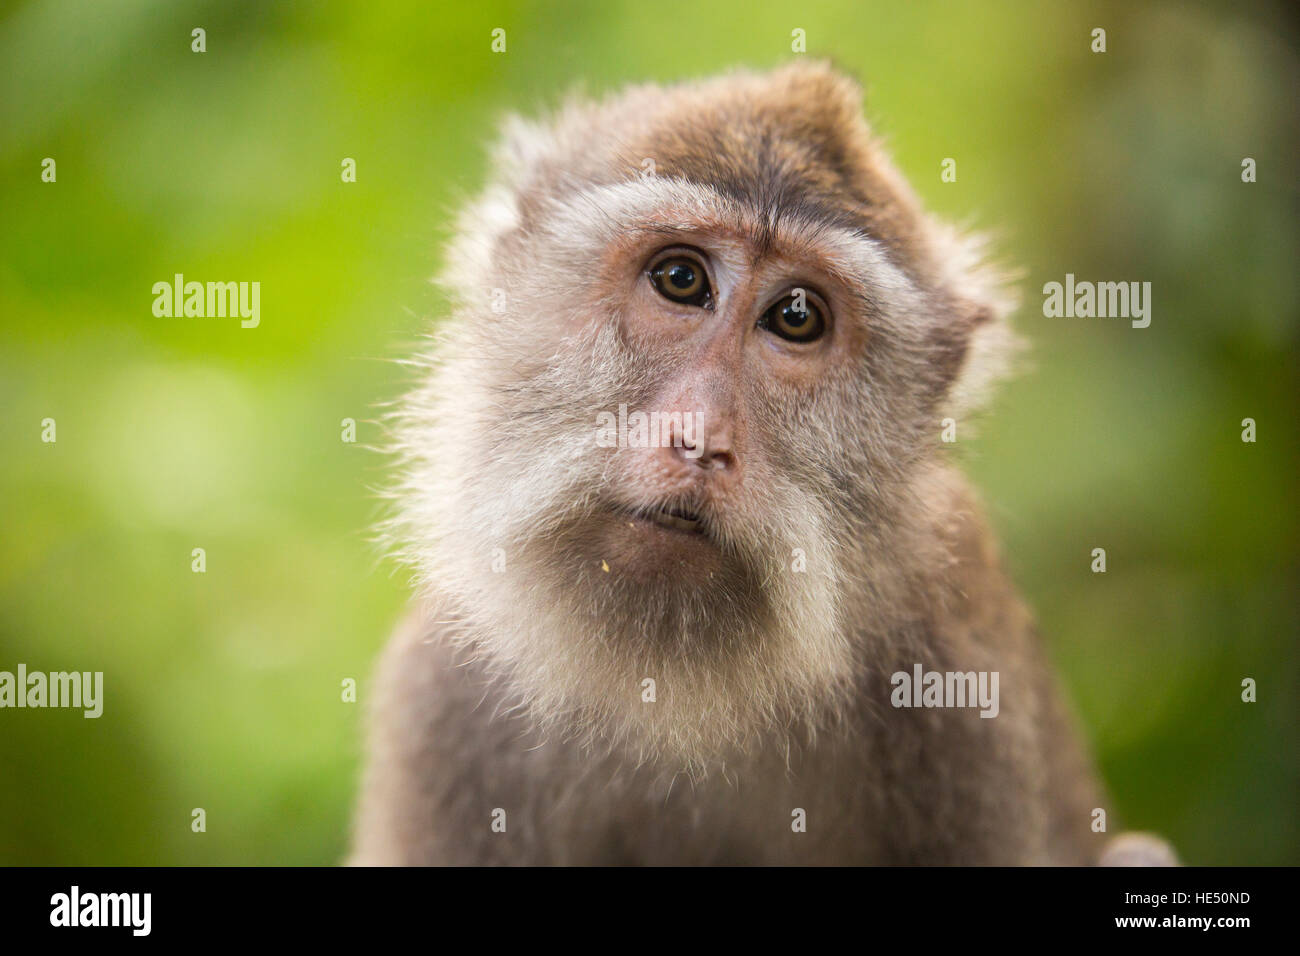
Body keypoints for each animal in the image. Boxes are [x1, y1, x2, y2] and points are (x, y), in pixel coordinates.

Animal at [350, 61, 1176, 866]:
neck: (669, 690)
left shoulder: (964, 693)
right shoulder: (441, 706)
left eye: (797, 317)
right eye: (681, 279)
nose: (701, 439)